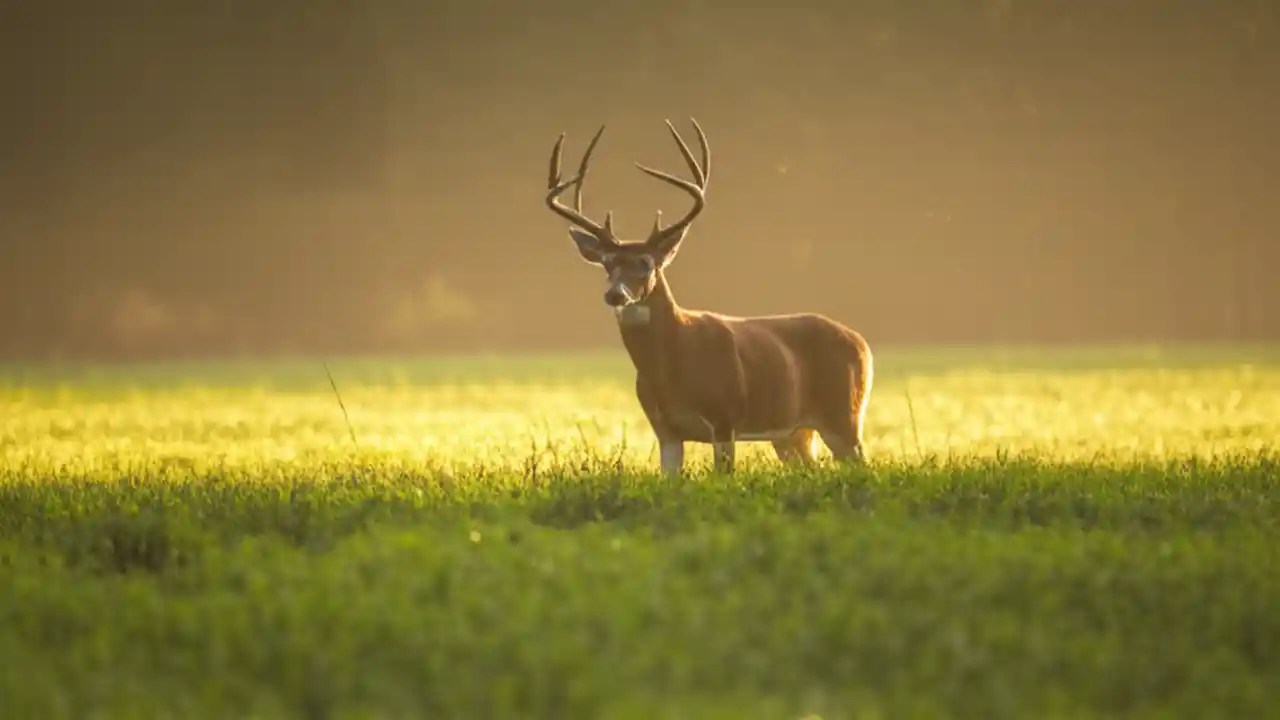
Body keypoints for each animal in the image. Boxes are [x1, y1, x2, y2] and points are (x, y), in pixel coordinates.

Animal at [544, 118, 873, 476]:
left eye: (646, 263)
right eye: (606, 264)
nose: (615, 294)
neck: (672, 367)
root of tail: (862, 342)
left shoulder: (725, 416)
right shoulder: (665, 430)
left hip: (845, 414)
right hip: (793, 432)